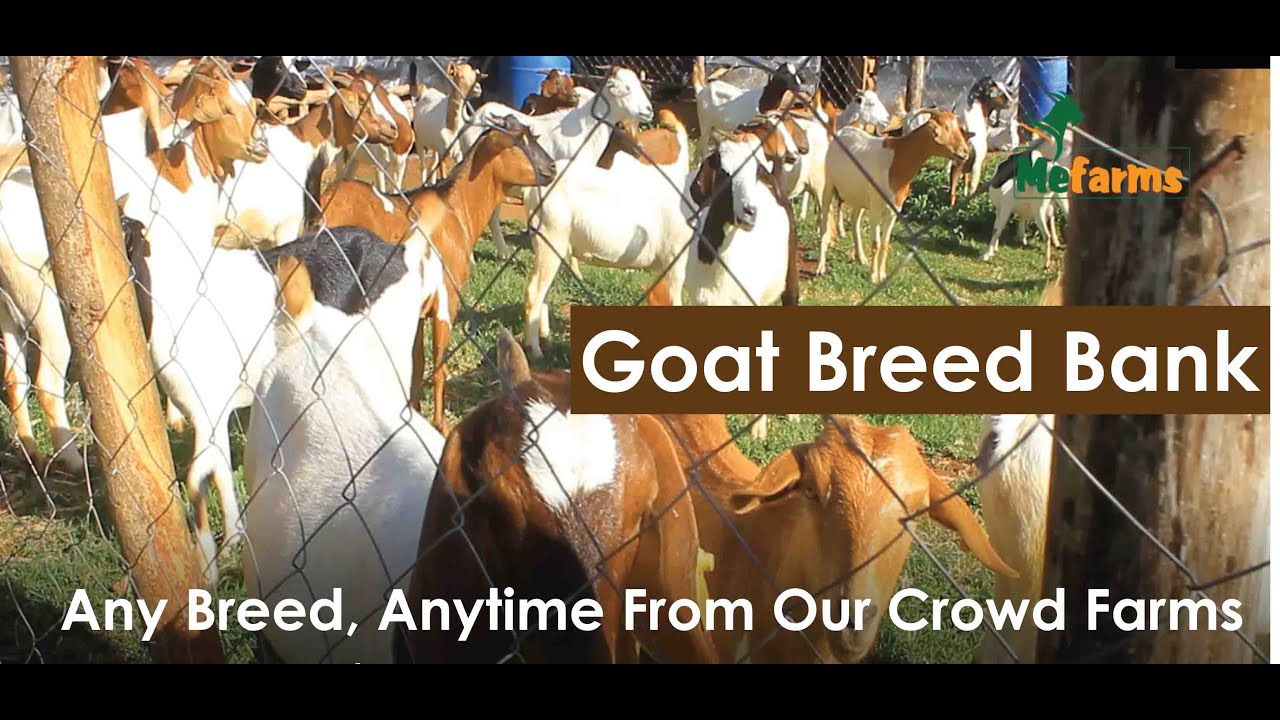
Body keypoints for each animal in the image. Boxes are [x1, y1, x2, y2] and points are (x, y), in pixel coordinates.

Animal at [316, 115, 556, 433]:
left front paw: (415, 414)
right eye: (520, 142)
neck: (454, 207)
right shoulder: (446, 300)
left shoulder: (417, 309)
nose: (552, 168)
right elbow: (439, 364)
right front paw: (440, 425)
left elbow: (417, 364)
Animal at [818, 108, 973, 282]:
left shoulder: (894, 211)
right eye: (945, 127)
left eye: (957, 127)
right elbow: (876, 243)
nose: (965, 152)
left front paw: (882, 275)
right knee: (824, 221)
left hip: (860, 197)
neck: (896, 160)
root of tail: (843, 131)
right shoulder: (876, 208)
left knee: (854, 220)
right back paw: (821, 267)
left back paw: (861, 258)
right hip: (829, 184)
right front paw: (873, 276)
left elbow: (885, 243)